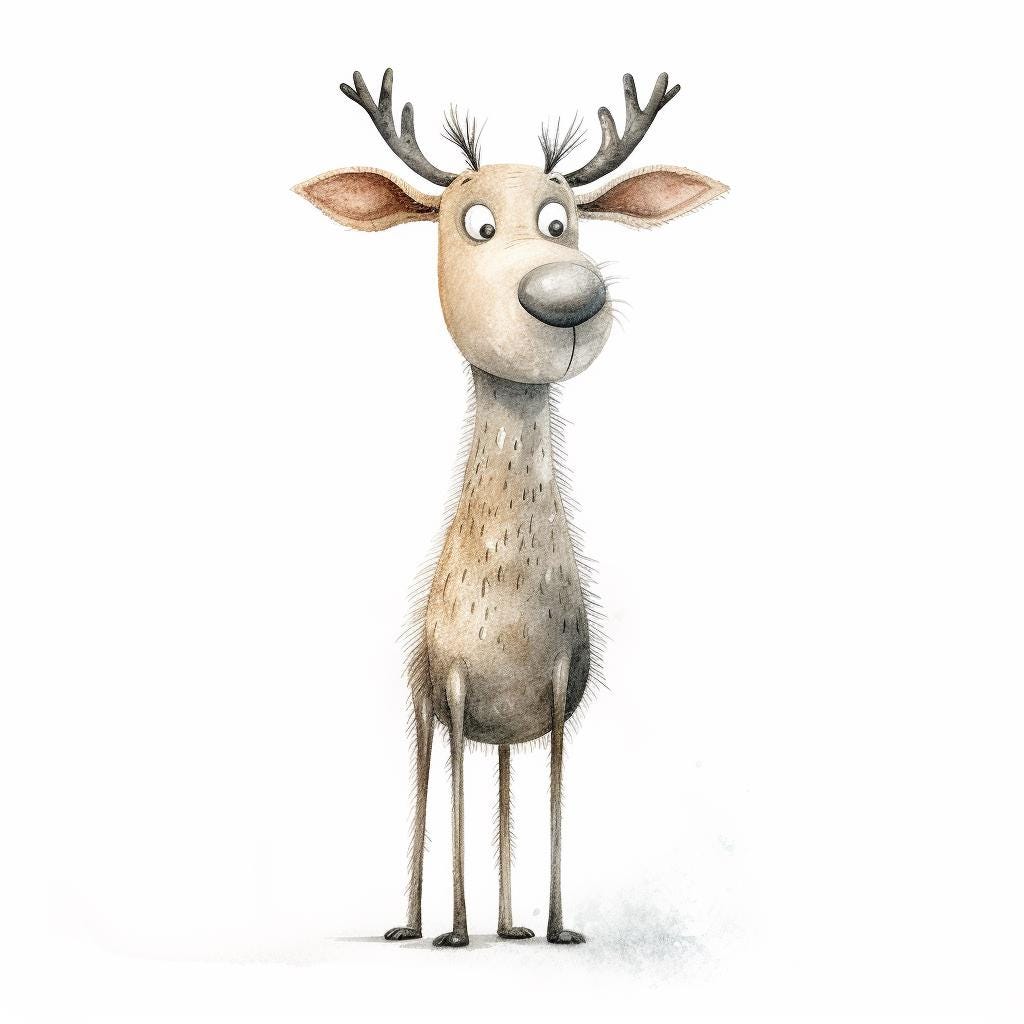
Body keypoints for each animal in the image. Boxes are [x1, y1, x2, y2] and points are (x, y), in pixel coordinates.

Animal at [294, 68, 727, 948]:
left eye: (562, 222)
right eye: (477, 224)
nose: (567, 298)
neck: (509, 598)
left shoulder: (559, 693)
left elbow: (552, 795)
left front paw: (557, 926)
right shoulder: (455, 689)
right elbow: (451, 799)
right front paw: (454, 931)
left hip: (504, 731)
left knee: (501, 786)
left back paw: (511, 924)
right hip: (423, 706)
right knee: (437, 782)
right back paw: (418, 923)